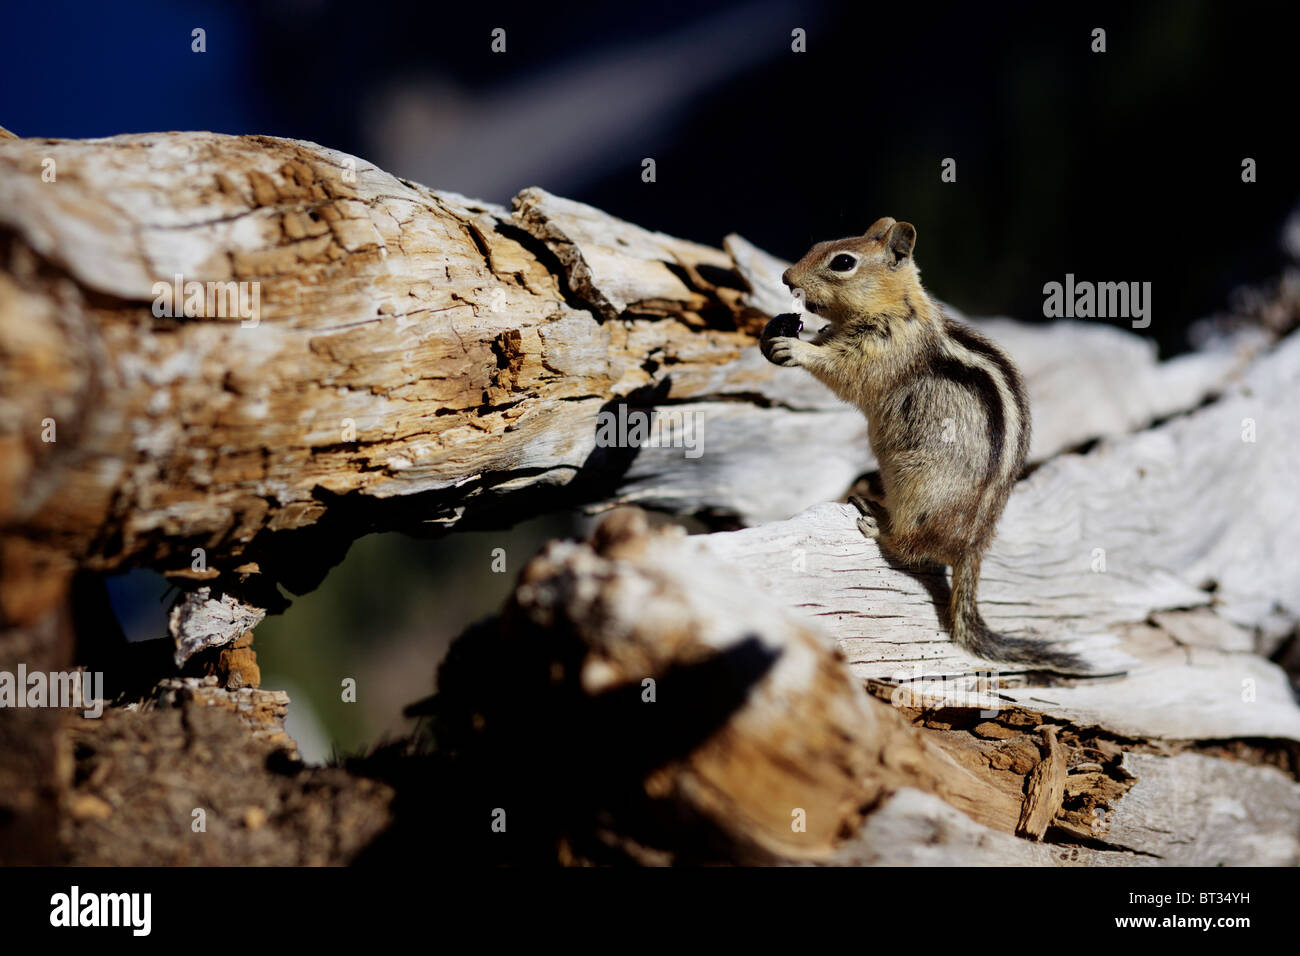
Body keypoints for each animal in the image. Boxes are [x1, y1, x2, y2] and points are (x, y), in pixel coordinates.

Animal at [761, 217, 1083, 672]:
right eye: (820, 243)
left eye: (843, 262)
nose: (787, 278)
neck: (899, 306)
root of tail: (973, 548)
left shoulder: (881, 349)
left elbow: (844, 370)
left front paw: (795, 346)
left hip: (917, 493)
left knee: (912, 550)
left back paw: (878, 521)